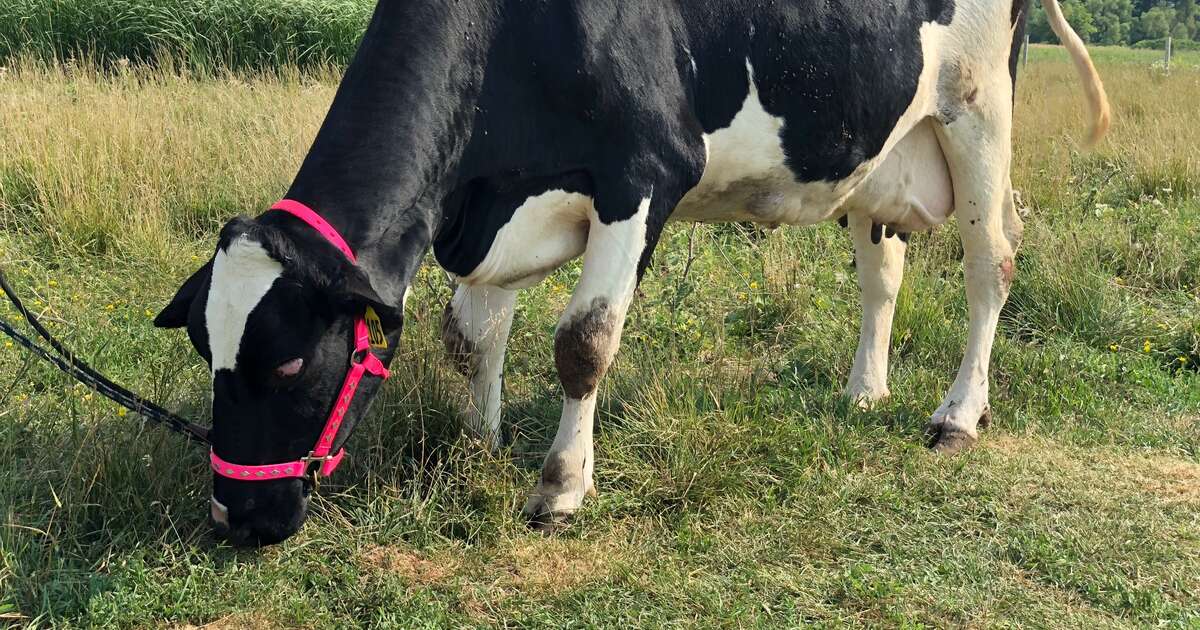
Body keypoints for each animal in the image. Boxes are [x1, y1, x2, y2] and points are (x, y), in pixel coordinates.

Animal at [154, 0, 1109, 545]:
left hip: (979, 107)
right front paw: (477, 441)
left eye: (289, 363)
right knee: (883, 273)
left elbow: (584, 342)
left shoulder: (644, 174)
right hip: (878, 149)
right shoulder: (494, 206)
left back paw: (957, 415)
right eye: (205, 352)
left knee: (993, 264)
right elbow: (469, 338)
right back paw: (864, 391)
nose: (234, 519)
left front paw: (559, 488)